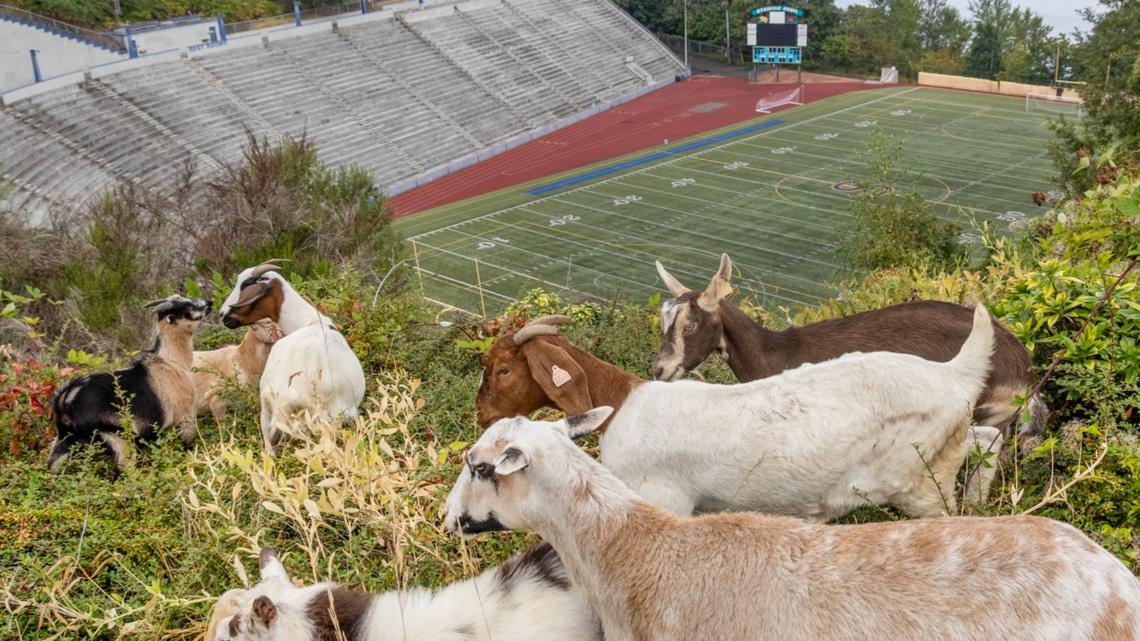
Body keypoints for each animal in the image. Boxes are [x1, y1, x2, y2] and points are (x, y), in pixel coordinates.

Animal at [48, 296, 210, 472]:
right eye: (188, 308)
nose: (209, 303)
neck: (171, 362)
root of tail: (65, 400)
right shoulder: (185, 413)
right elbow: (187, 440)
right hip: (116, 437)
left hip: (66, 440)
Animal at [477, 307, 994, 519]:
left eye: (502, 369)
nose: (481, 414)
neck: (622, 403)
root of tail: (955, 372)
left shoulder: (664, 501)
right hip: (946, 449)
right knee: (986, 440)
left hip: (919, 482)